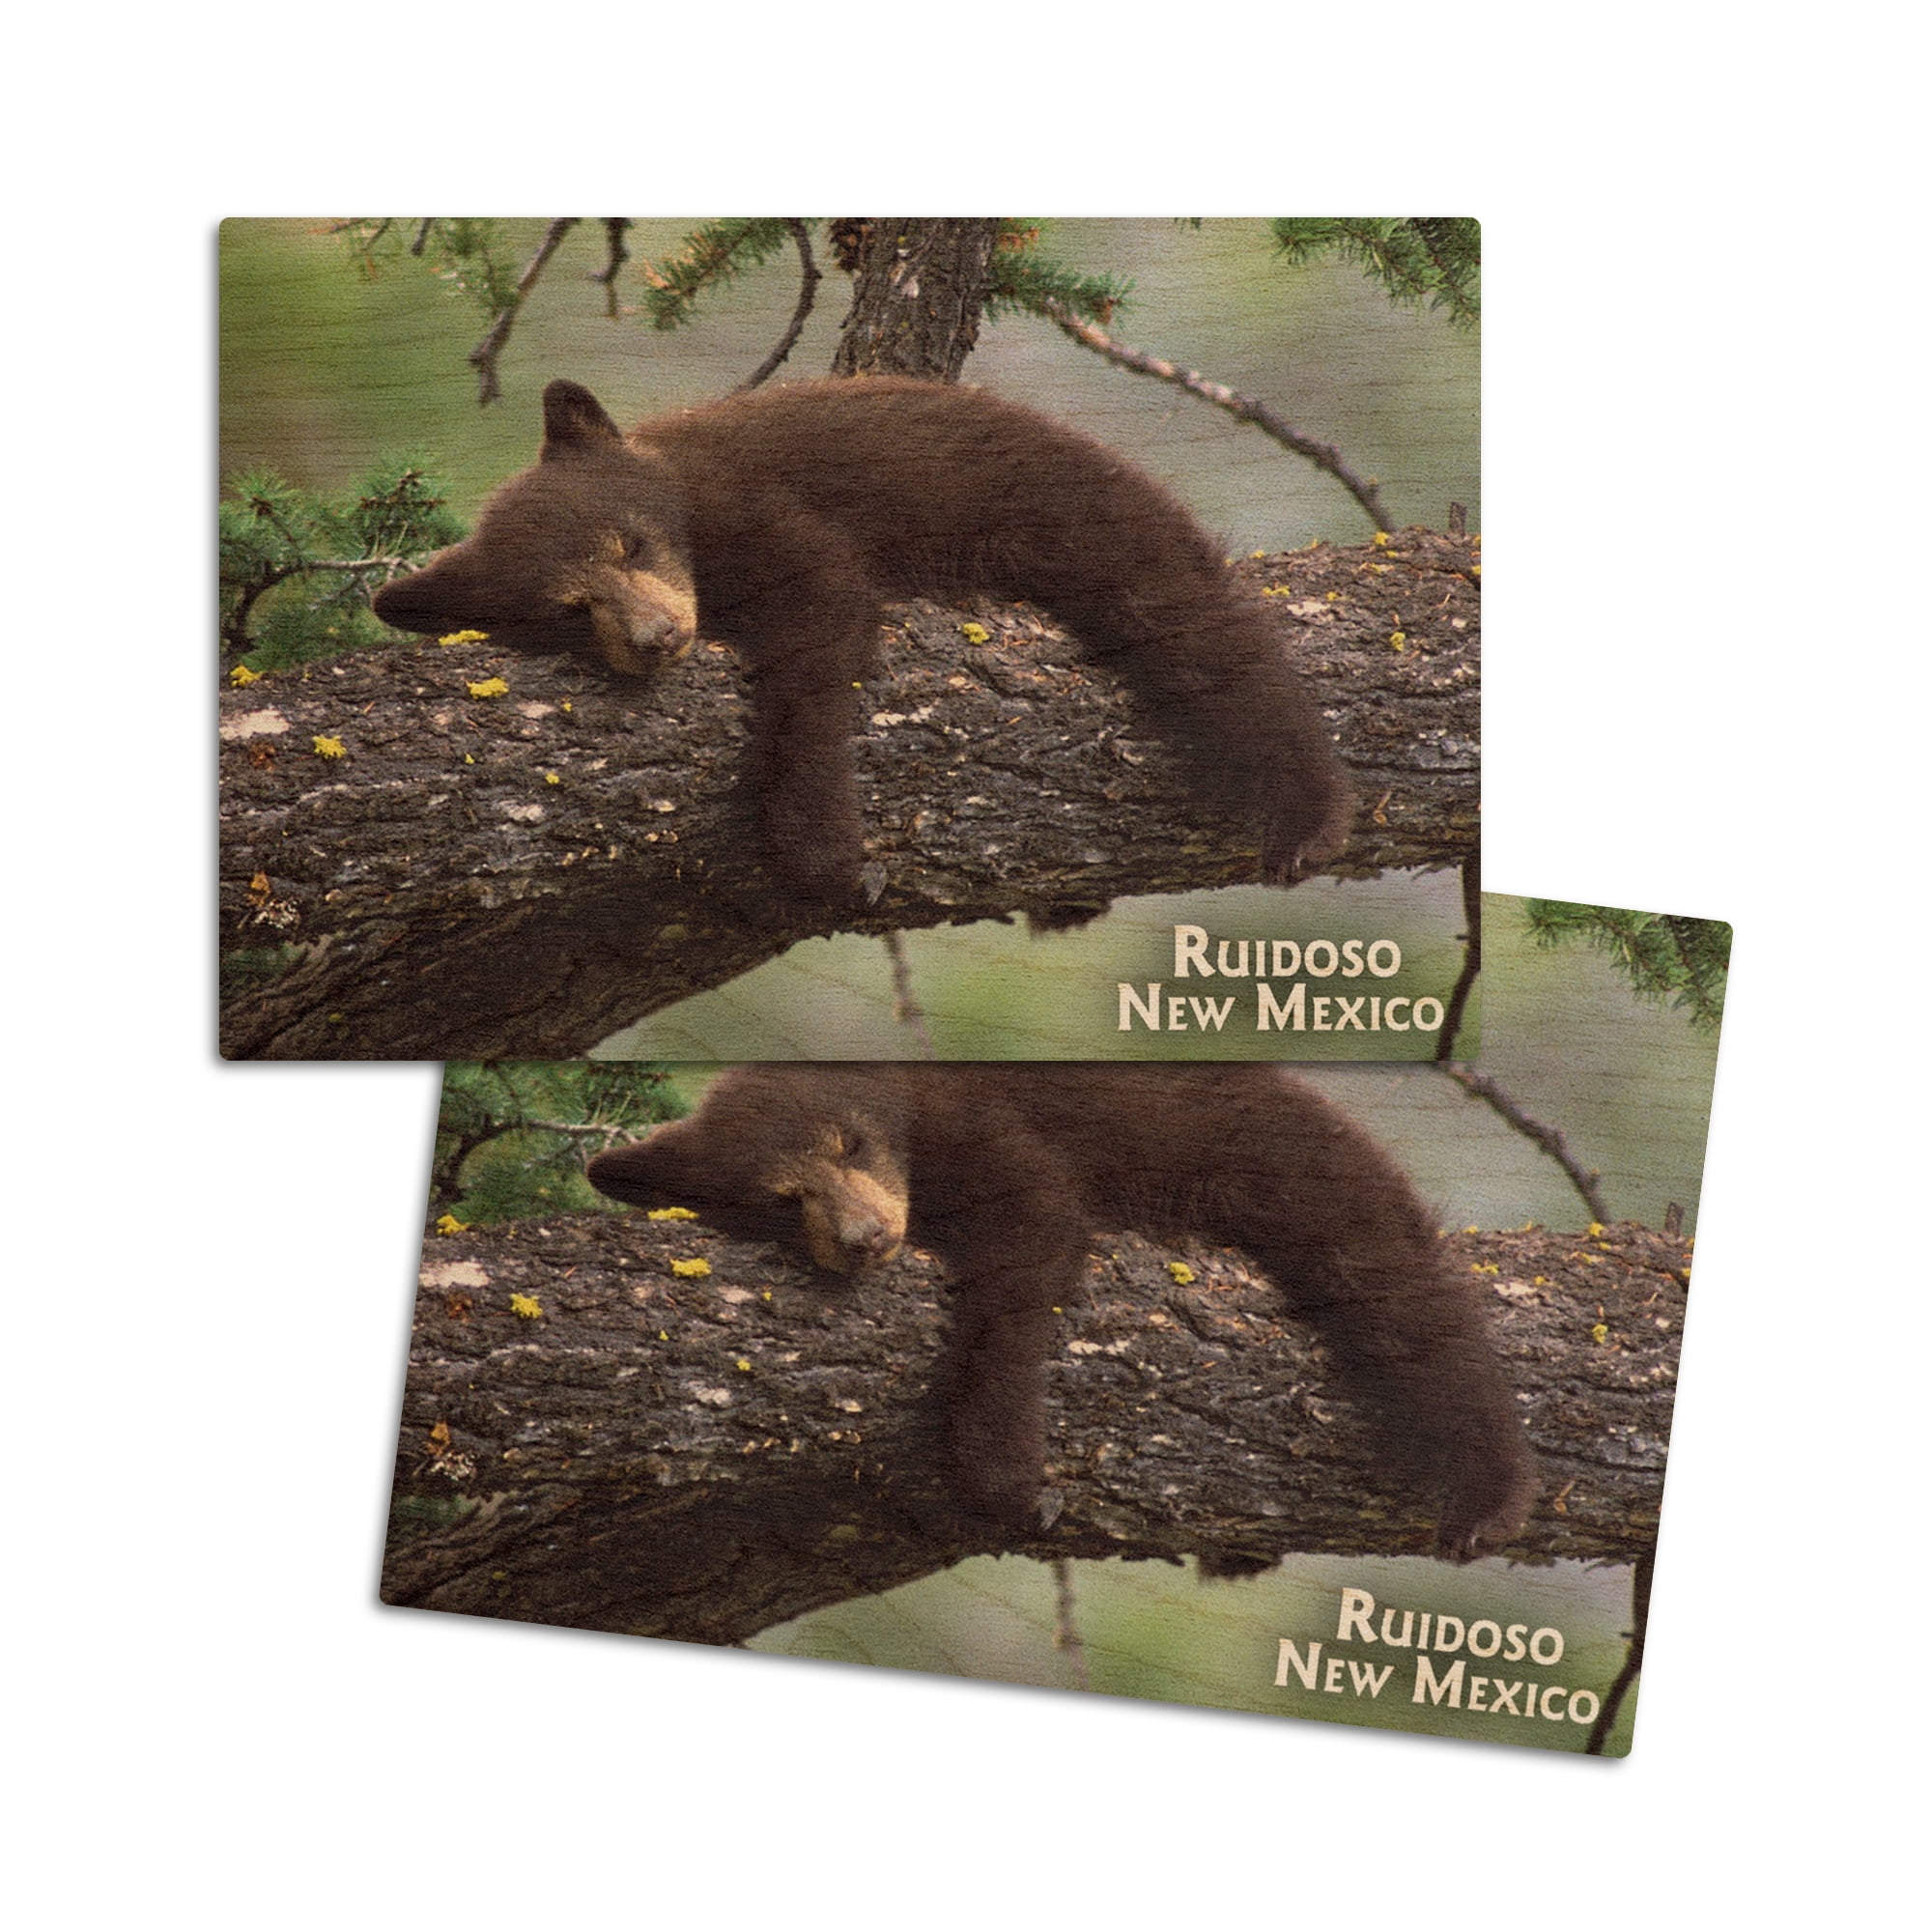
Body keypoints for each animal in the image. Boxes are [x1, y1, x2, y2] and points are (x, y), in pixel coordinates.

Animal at [372, 378, 1353, 911]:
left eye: (632, 545)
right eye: (570, 609)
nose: (658, 637)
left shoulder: (752, 511)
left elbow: (816, 637)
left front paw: (822, 851)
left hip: (1088, 525)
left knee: (1206, 639)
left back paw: (1307, 815)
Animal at [585, 1063, 1537, 1561]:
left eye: (848, 1143)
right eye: (784, 1198)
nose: (864, 1237)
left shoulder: (983, 1130)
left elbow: (1025, 1253)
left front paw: (1001, 1472)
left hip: (1299, 1175)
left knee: (1407, 1305)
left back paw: (1489, 1495)